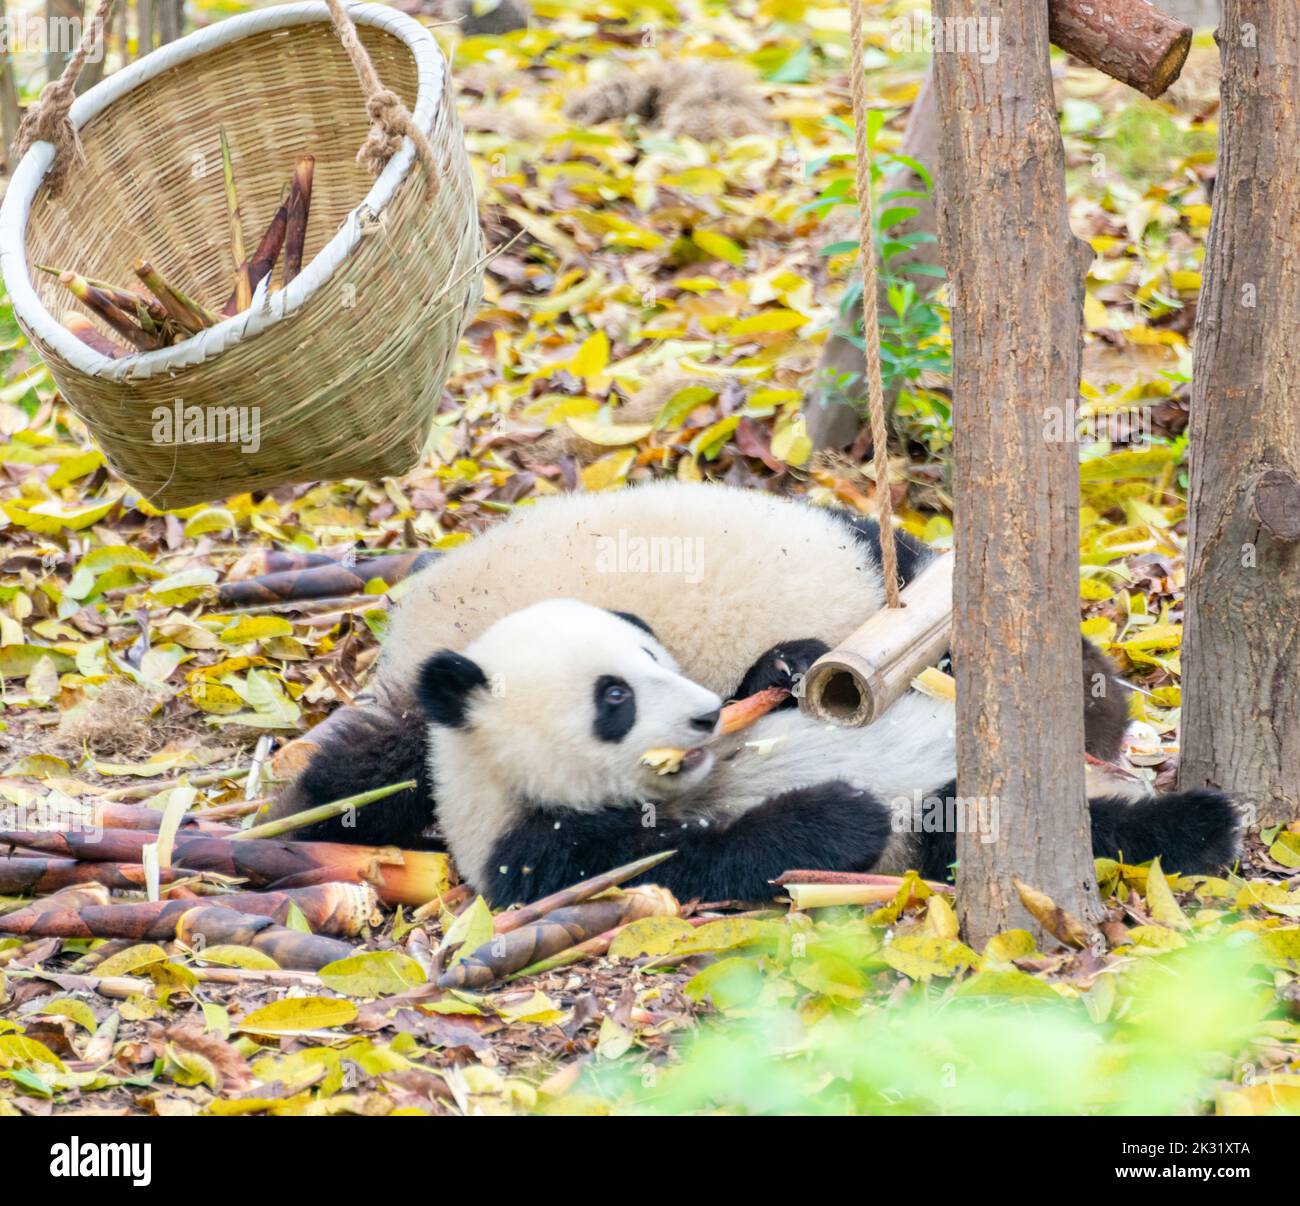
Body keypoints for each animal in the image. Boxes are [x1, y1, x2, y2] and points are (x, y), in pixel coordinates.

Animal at [417, 599, 1241, 905]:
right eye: (613, 696)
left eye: (654, 655)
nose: (706, 715)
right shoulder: (535, 852)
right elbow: (682, 866)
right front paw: (840, 814)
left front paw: (788, 666)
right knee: (960, 824)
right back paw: (1200, 824)